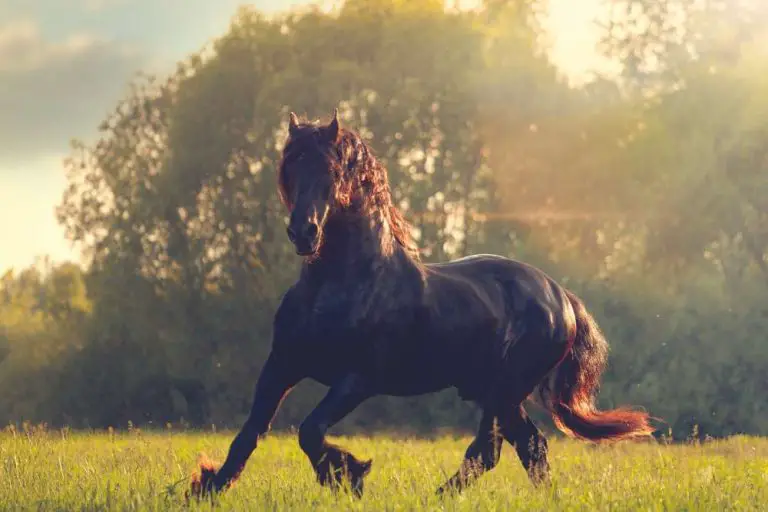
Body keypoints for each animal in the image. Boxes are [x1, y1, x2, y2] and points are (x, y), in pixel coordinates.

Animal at [188, 109, 655, 500]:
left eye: (331, 169)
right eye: (290, 164)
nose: (303, 232)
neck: (341, 284)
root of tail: (560, 296)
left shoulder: (358, 379)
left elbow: (310, 430)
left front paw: (349, 475)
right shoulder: (282, 365)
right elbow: (249, 434)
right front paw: (207, 488)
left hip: (505, 389)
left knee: (491, 451)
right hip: (493, 390)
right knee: (527, 447)